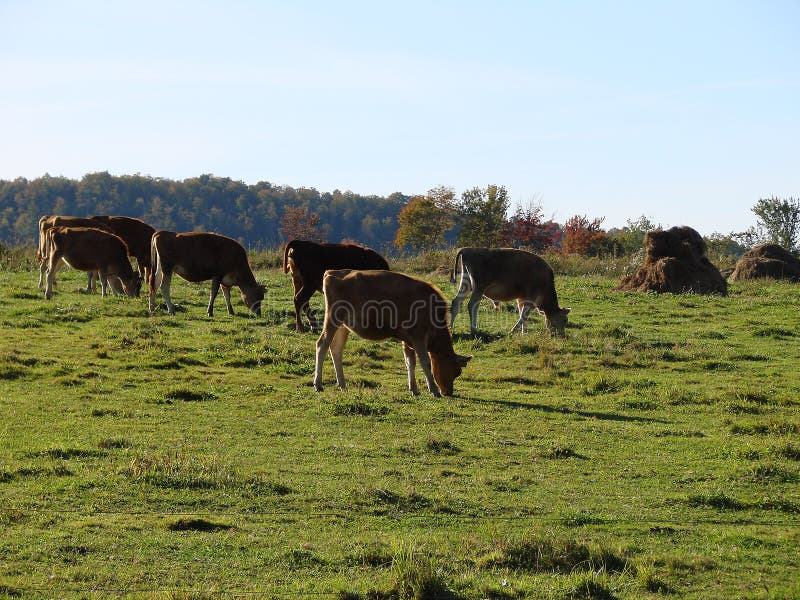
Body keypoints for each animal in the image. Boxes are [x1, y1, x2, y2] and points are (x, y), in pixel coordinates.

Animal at [313, 269, 471, 397]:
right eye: (457, 371)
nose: (448, 392)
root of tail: (333, 272)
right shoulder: (418, 337)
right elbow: (425, 362)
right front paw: (433, 390)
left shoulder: (408, 339)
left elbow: (410, 362)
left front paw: (414, 389)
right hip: (332, 318)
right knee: (322, 345)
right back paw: (318, 384)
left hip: (343, 326)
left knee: (336, 349)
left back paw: (343, 385)